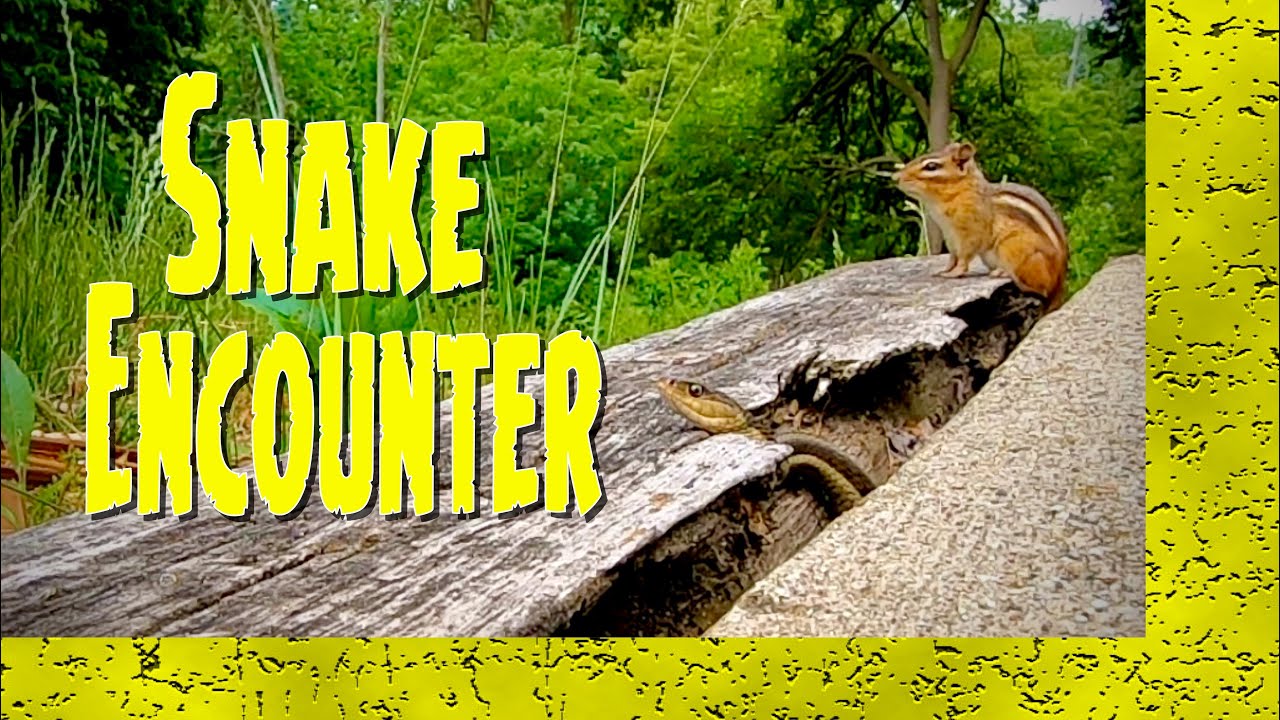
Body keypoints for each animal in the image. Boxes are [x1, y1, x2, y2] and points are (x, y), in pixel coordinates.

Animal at [892, 142, 1070, 311]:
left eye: (931, 166)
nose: (896, 177)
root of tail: (1059, 286)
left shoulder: (971, 232)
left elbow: (964, 257)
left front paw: (954, 273)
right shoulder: (950, 235)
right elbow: (953, 257)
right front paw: (944, 270)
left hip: (1013, 248)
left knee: (1040, 288)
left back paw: (1003, 272)